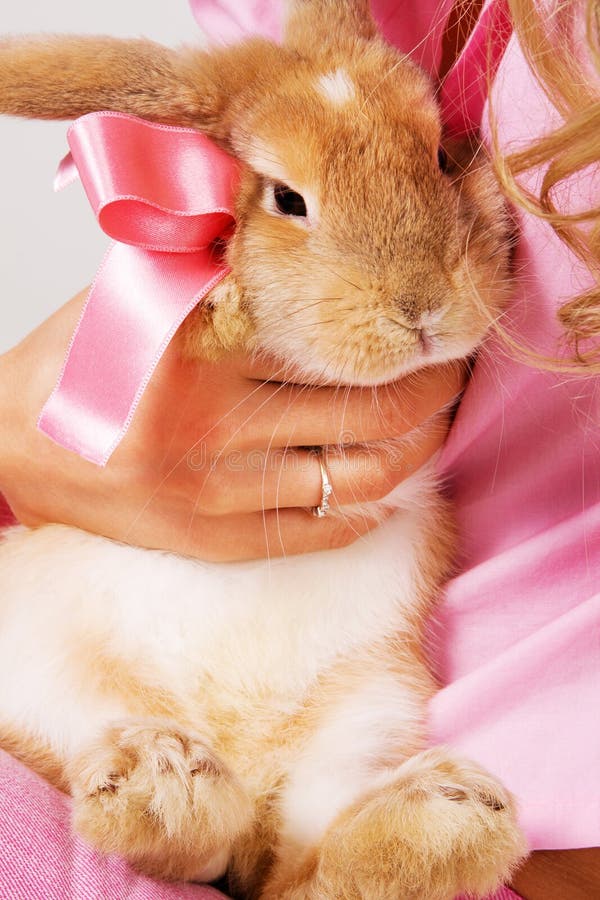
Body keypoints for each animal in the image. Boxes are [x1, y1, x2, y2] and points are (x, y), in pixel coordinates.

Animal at [0, 1, 527, 898]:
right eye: (287, 198)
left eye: (438, 157)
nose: (423, 307)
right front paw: (231, 299)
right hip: (42, 685)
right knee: (199, 842)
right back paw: (160, 779)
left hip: (367, 721)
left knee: (307, 870)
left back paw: (445, 818)